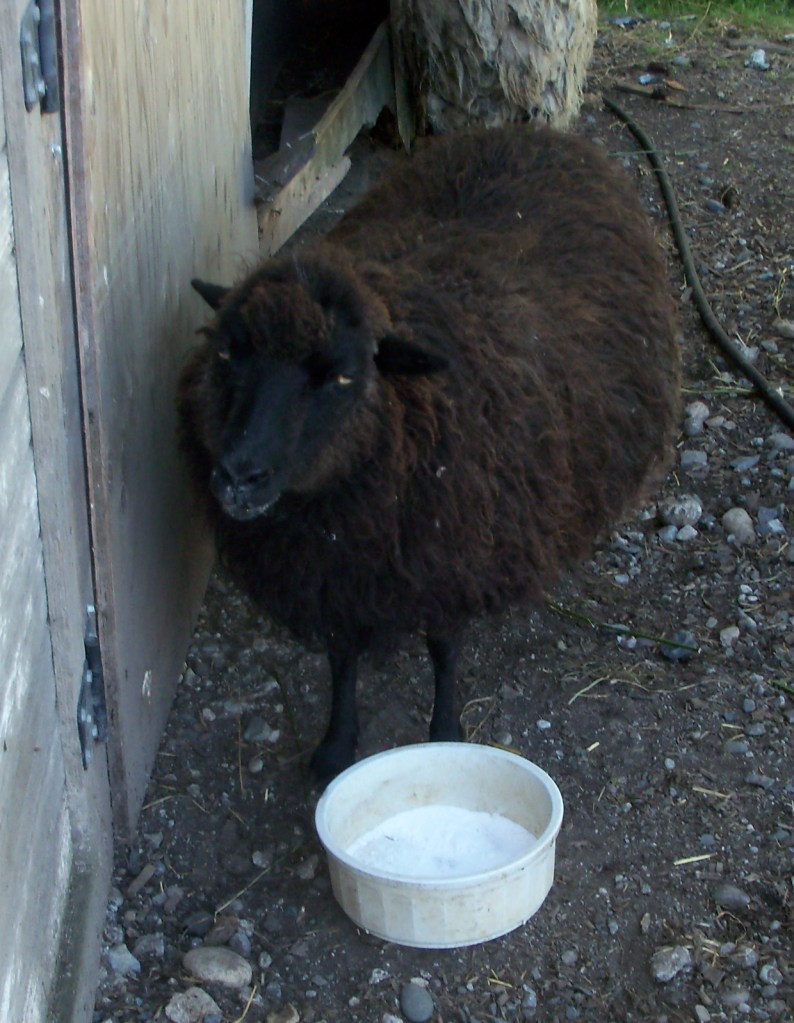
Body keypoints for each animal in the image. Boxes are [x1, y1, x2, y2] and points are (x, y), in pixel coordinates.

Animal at [178, 125, 681, 781]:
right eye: (227, 354)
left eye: (342, 376)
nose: (240, 476)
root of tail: (534, 132)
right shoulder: (338, 572)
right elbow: (342, 657)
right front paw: (336, 744)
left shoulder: (451, 557)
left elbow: (443, 652)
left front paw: (446, 735)